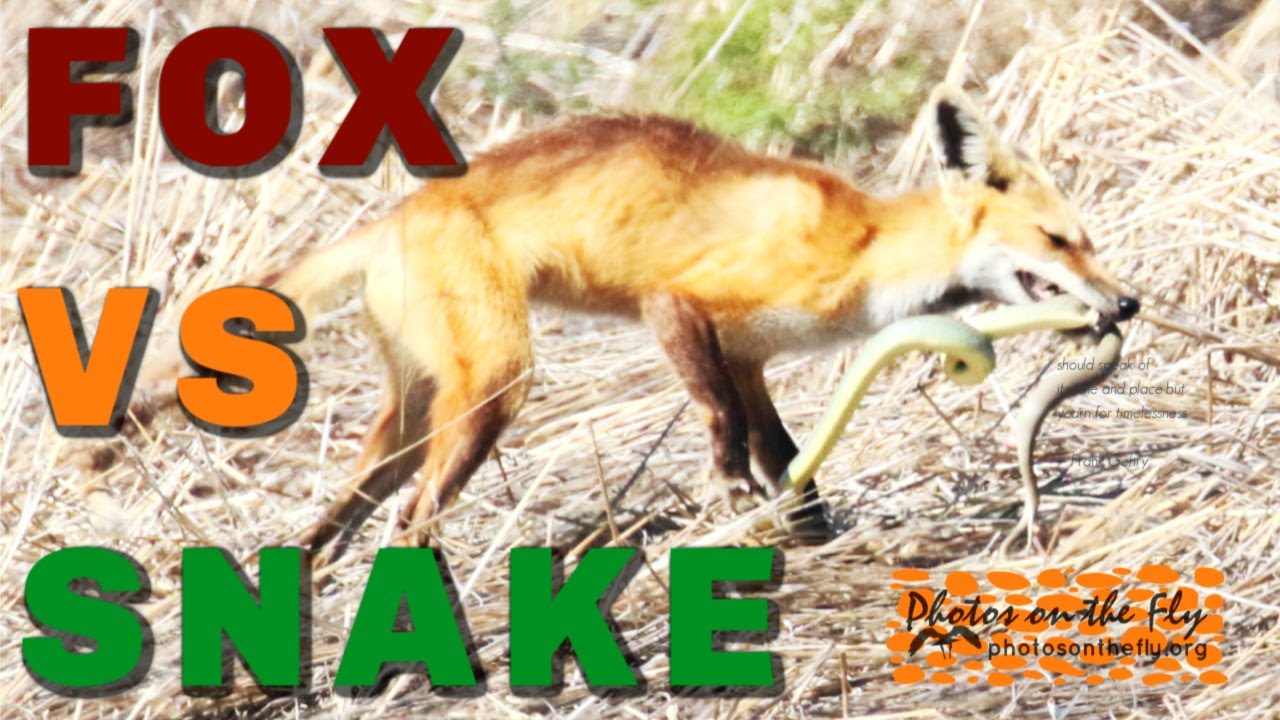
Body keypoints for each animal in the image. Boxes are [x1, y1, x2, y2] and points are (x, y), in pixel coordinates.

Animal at [117, 84, 1138, 558]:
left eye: (1093, 241)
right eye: (1059, 241)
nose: (1127, 304)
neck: (863, 248)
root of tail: (397, 212)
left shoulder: (751, 354)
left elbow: (786, 456)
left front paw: (803, 529)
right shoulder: (681, 303)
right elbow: (725, 428)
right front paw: (733, 497)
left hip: (417, 410)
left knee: (356, 504)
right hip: (495, 389)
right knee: (413, 513)